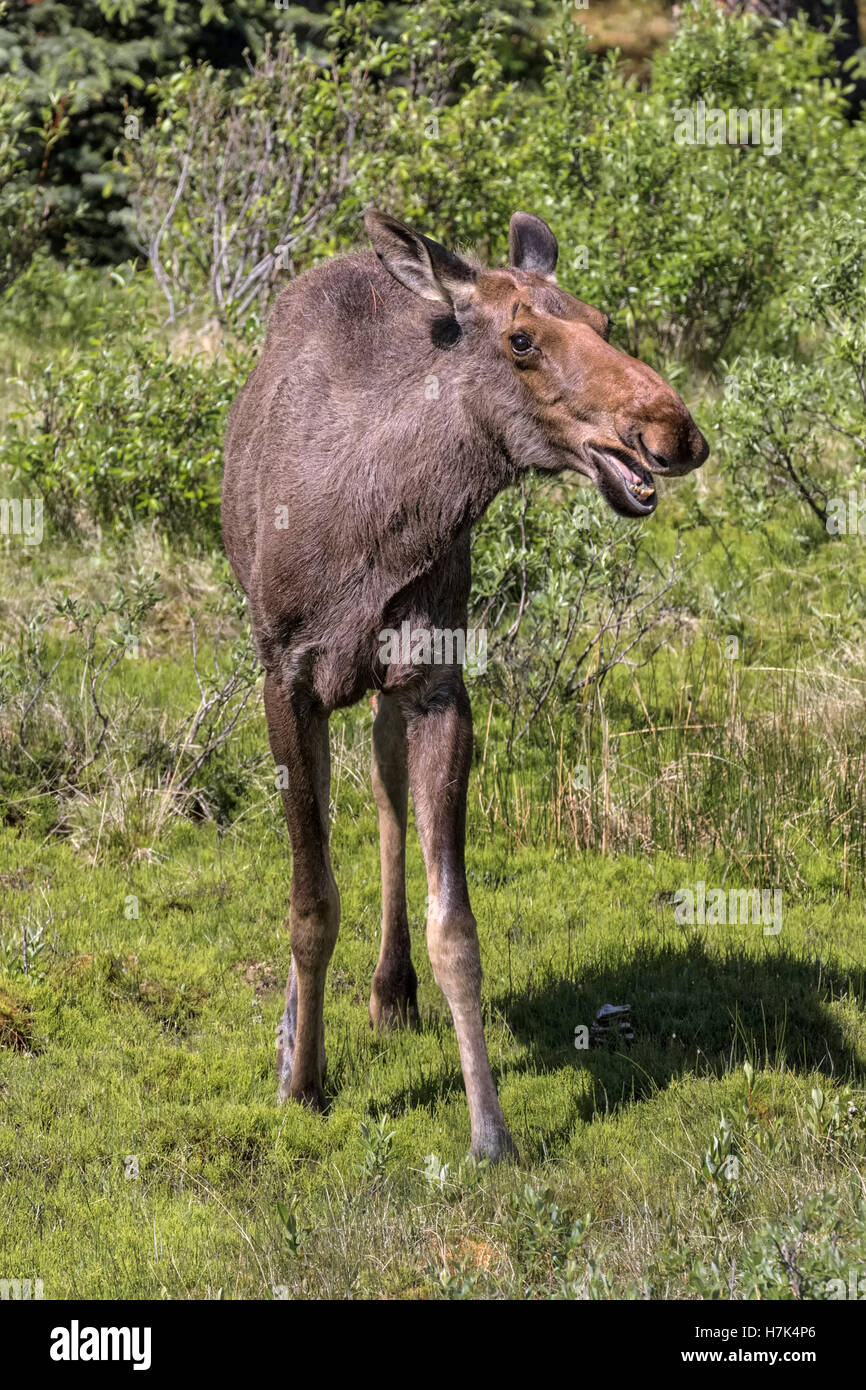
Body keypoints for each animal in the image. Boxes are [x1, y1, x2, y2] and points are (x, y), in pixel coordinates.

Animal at [222, 209, 708, 1162]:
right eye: (521, 339)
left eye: (602, 319)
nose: (671, 432)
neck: (374, 530)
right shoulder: (284, 677)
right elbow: (309, 900)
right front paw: (302, 1081)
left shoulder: (437, 682)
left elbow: (457, 927)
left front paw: (491, 1131)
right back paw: (300, 1029)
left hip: (386, 684)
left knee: (383, 796)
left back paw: (390, 990)